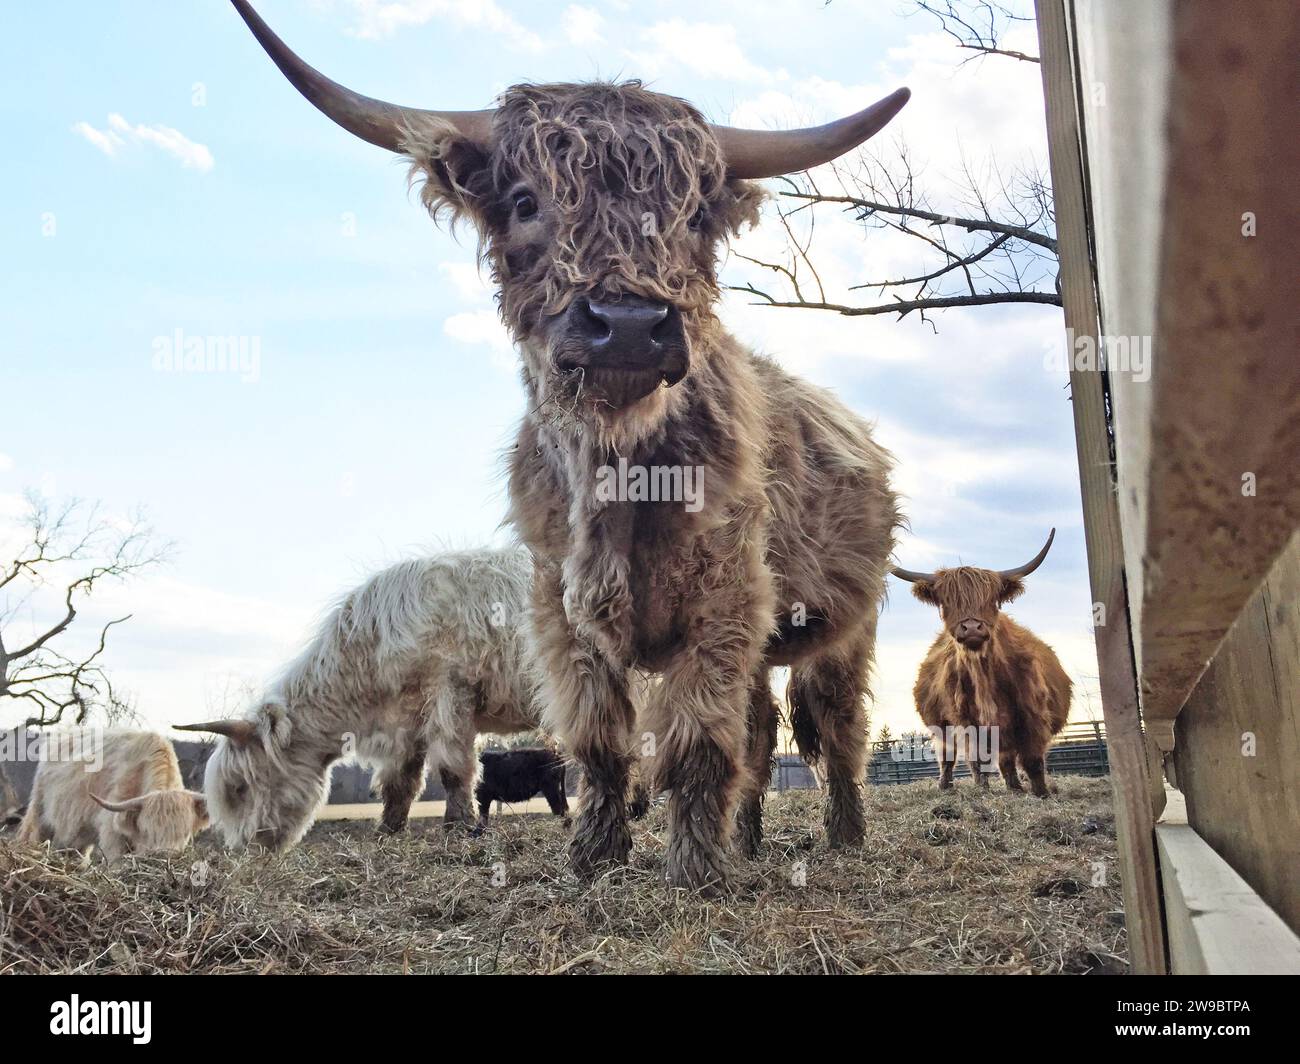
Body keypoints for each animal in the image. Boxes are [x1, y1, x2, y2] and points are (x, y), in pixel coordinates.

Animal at [178, 548, 549, 850]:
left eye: (239, 788)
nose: (242, 849)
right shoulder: (405, 720)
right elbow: (401, 780)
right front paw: (388, 830)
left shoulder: (450, 691)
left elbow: (454, 768)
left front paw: (458, 825)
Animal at [230, 1, 909, 890]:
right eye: (524, 202)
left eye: (694, 214)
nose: (627, 324)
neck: (620, 479)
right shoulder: (560, 610)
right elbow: (599, 740)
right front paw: (595, 858)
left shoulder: (726, 600)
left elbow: (698, 743)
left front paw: (694, 872)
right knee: (764, 735)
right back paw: (752, 839)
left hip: (843, 628)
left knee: (836, 729)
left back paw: (845, 835)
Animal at [892, 530, 1072, 797]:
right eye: (947, 601)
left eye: (991, 600)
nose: (972, 628)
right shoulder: (967, 720)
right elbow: (977, 759)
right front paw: (983, 789)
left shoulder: (1032, 715)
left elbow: (1031, 759)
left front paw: (1041, 793)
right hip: (942, 726)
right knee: (949, 756)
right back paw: (946, 785)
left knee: (1006, 759)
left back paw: (1015, 787)